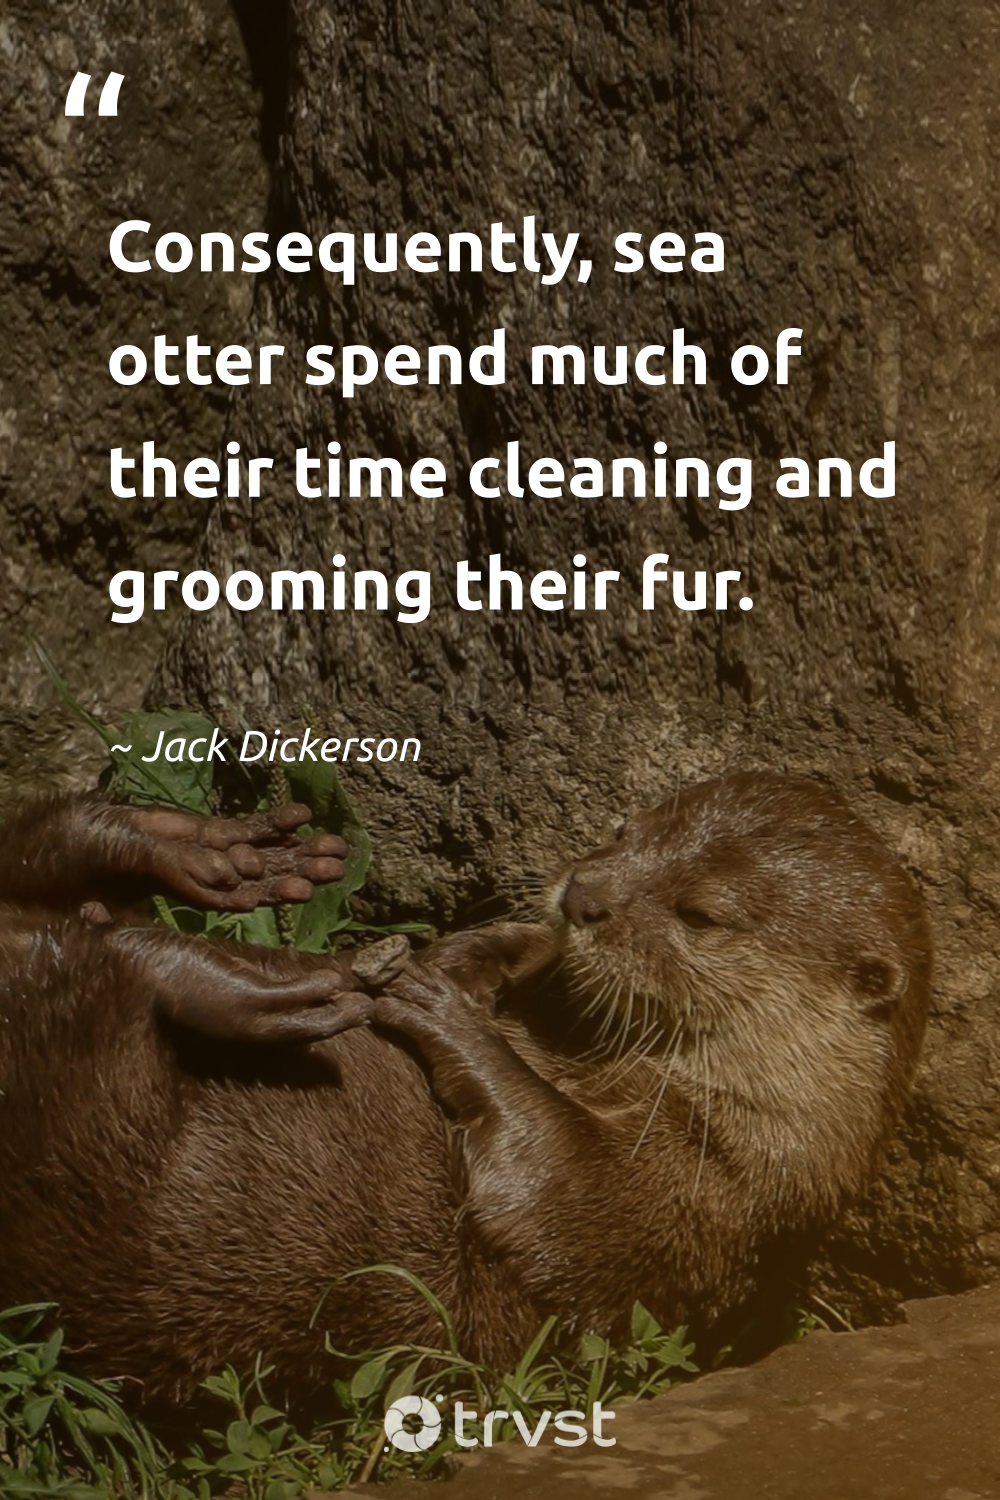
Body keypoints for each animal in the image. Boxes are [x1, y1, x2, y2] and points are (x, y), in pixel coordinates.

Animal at [0, 772, 931, 1408]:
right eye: (623, 827)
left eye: (700, 915)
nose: (584, 896)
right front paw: (484, 952)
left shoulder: (705, 1199)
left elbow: (551, 1195)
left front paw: (442, 1002)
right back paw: (195, 852)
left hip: (93, 1159)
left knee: (104, 975)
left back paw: (229, 978)